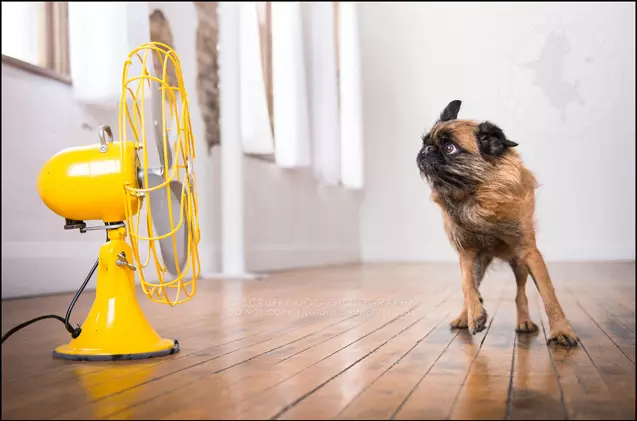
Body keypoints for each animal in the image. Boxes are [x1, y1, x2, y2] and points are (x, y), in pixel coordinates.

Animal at [414, 100, 580, 346]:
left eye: (449, 148)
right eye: (425, 142)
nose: (426, 150)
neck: (475, 195)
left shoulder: (529, 253)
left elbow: (548, 294)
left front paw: (562, 330)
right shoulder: (467, 253)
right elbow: (466, 285)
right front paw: (475, 315)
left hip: (520, 263)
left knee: (520, 293)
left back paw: (524, 321)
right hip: (481, 263)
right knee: (474, 287)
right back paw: (465, 316)